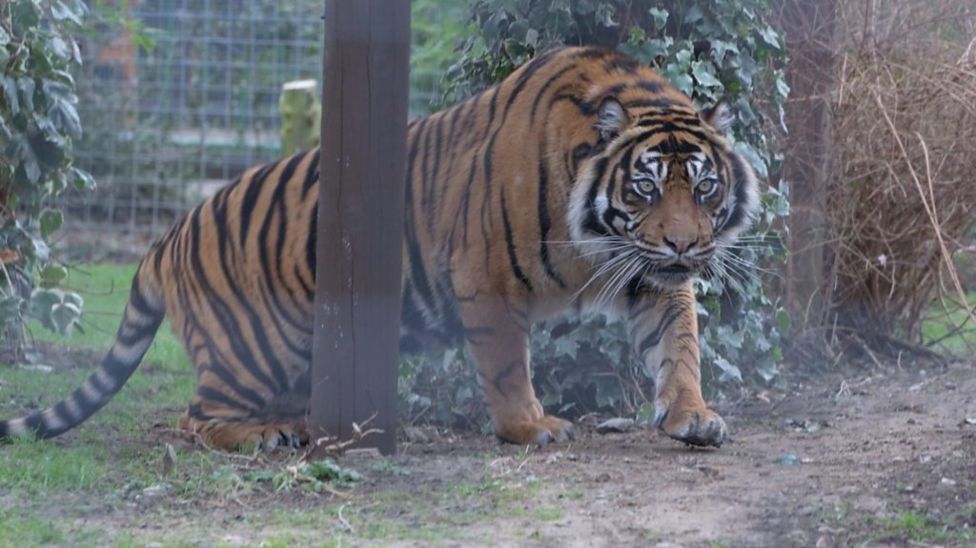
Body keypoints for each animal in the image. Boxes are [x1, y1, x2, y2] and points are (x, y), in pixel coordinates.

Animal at [0, 46, 758, 450]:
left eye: (704, 187)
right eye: (645, 187)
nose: (686, 242)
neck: (597, 234)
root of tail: (163, 241)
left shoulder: (651, 273)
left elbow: (679, 345)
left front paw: (692, 415)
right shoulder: (484, 274)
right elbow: (507, 365)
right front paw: (529, 426)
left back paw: (296, 423)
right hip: (255, 348)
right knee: (195, 418)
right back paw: (265, 436)